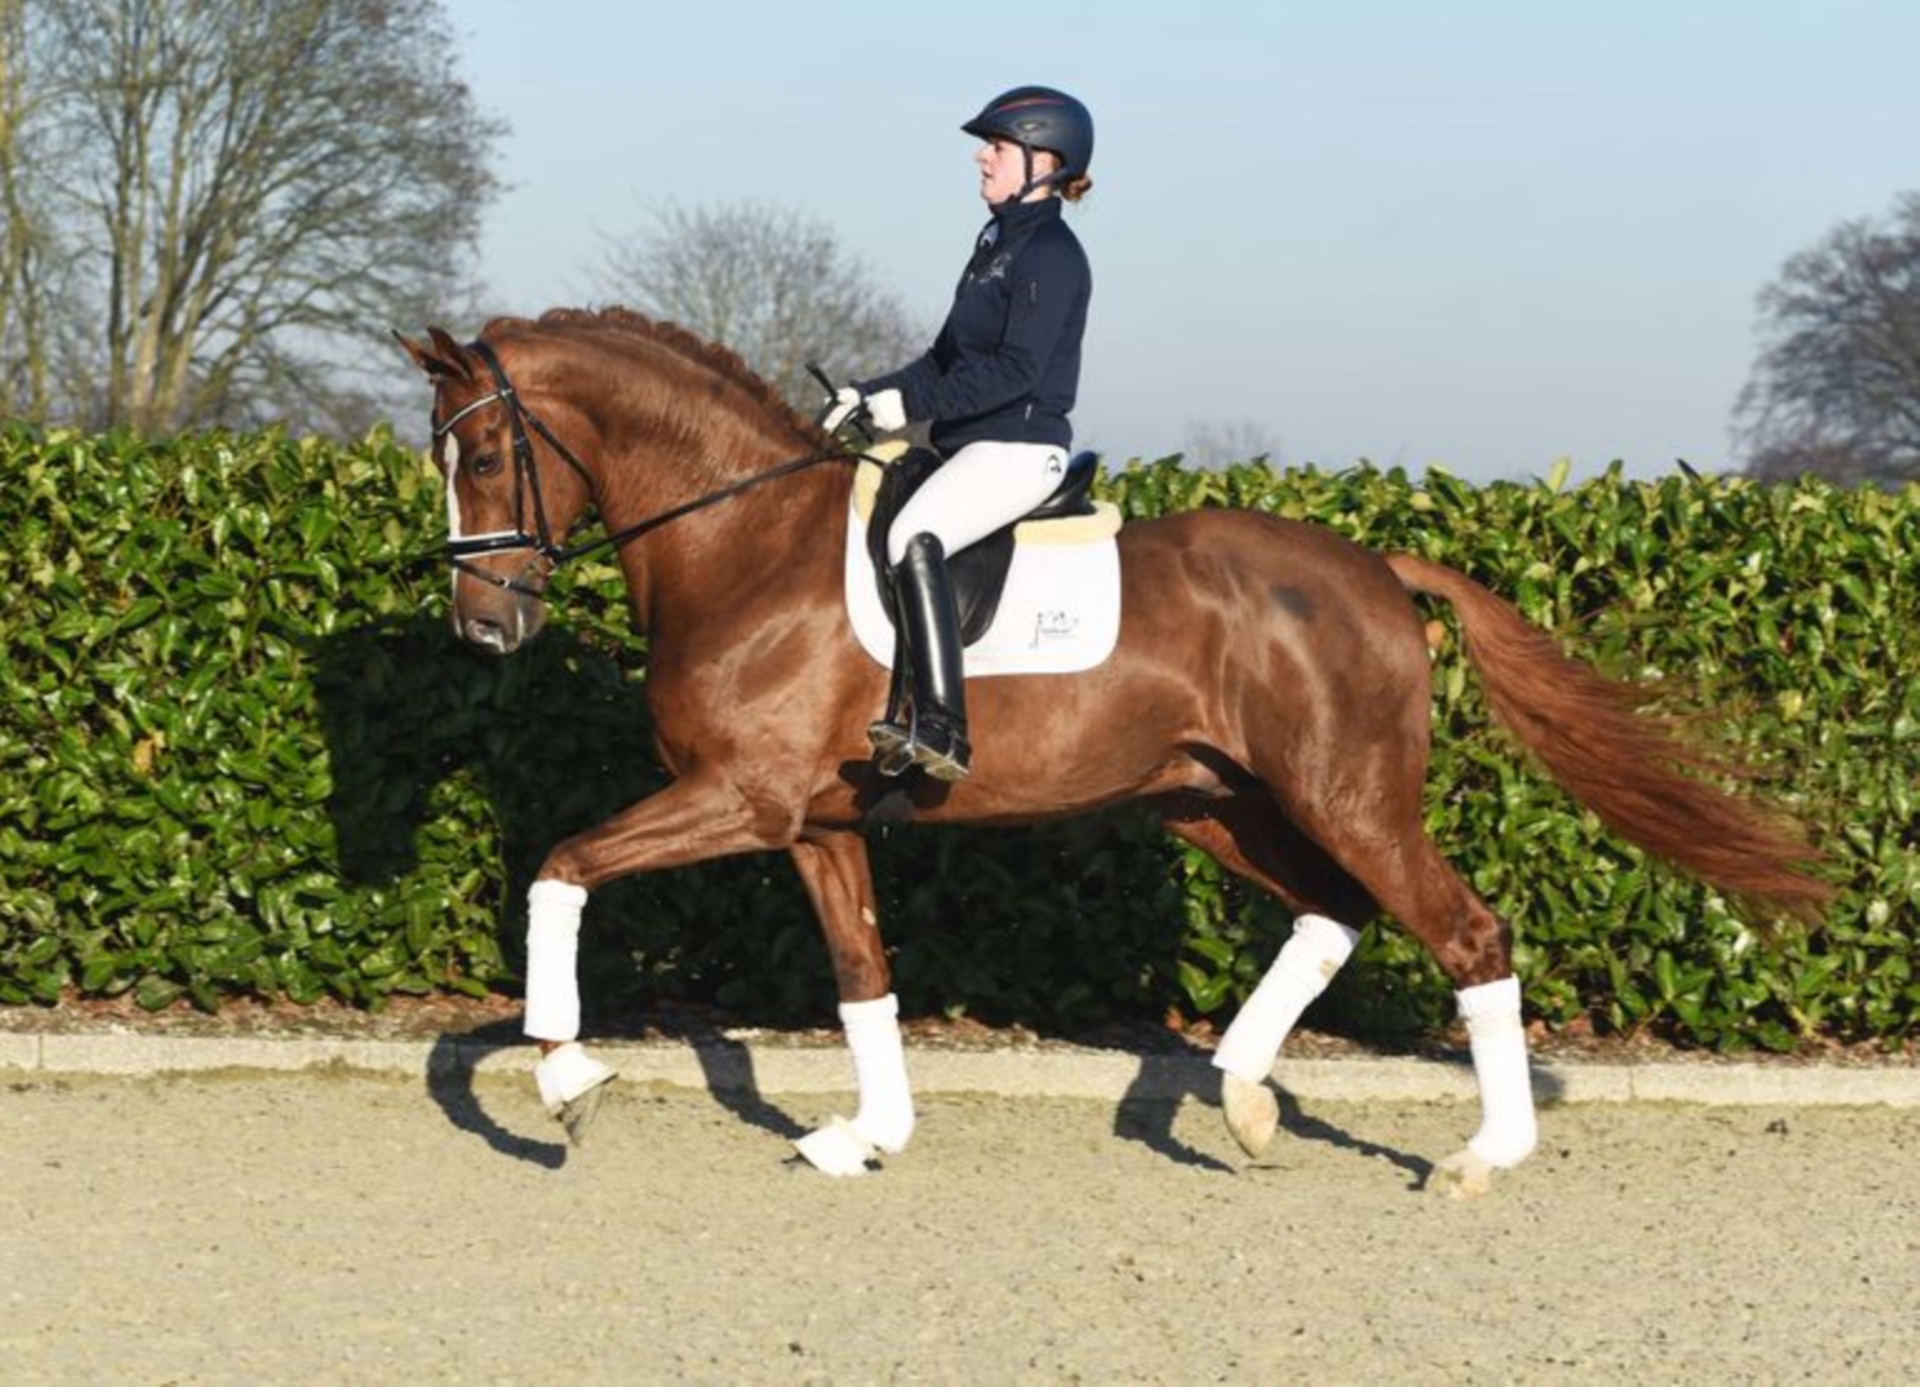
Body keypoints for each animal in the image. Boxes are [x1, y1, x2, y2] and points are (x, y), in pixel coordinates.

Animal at [396, 307, 1830, 1195]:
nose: (483, 625)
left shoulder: (739, 798)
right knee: (1333, 915)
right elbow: (863, 978)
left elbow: (562, 866)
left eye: (487, 451)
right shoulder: (818, 823)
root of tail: (1377, 568)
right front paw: (868, 1134)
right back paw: (1244, 1101)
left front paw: (566, 1076)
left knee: (1468, 934)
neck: (744, 543)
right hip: (1220, 801)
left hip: (1346, 793)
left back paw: (1481, 1158)